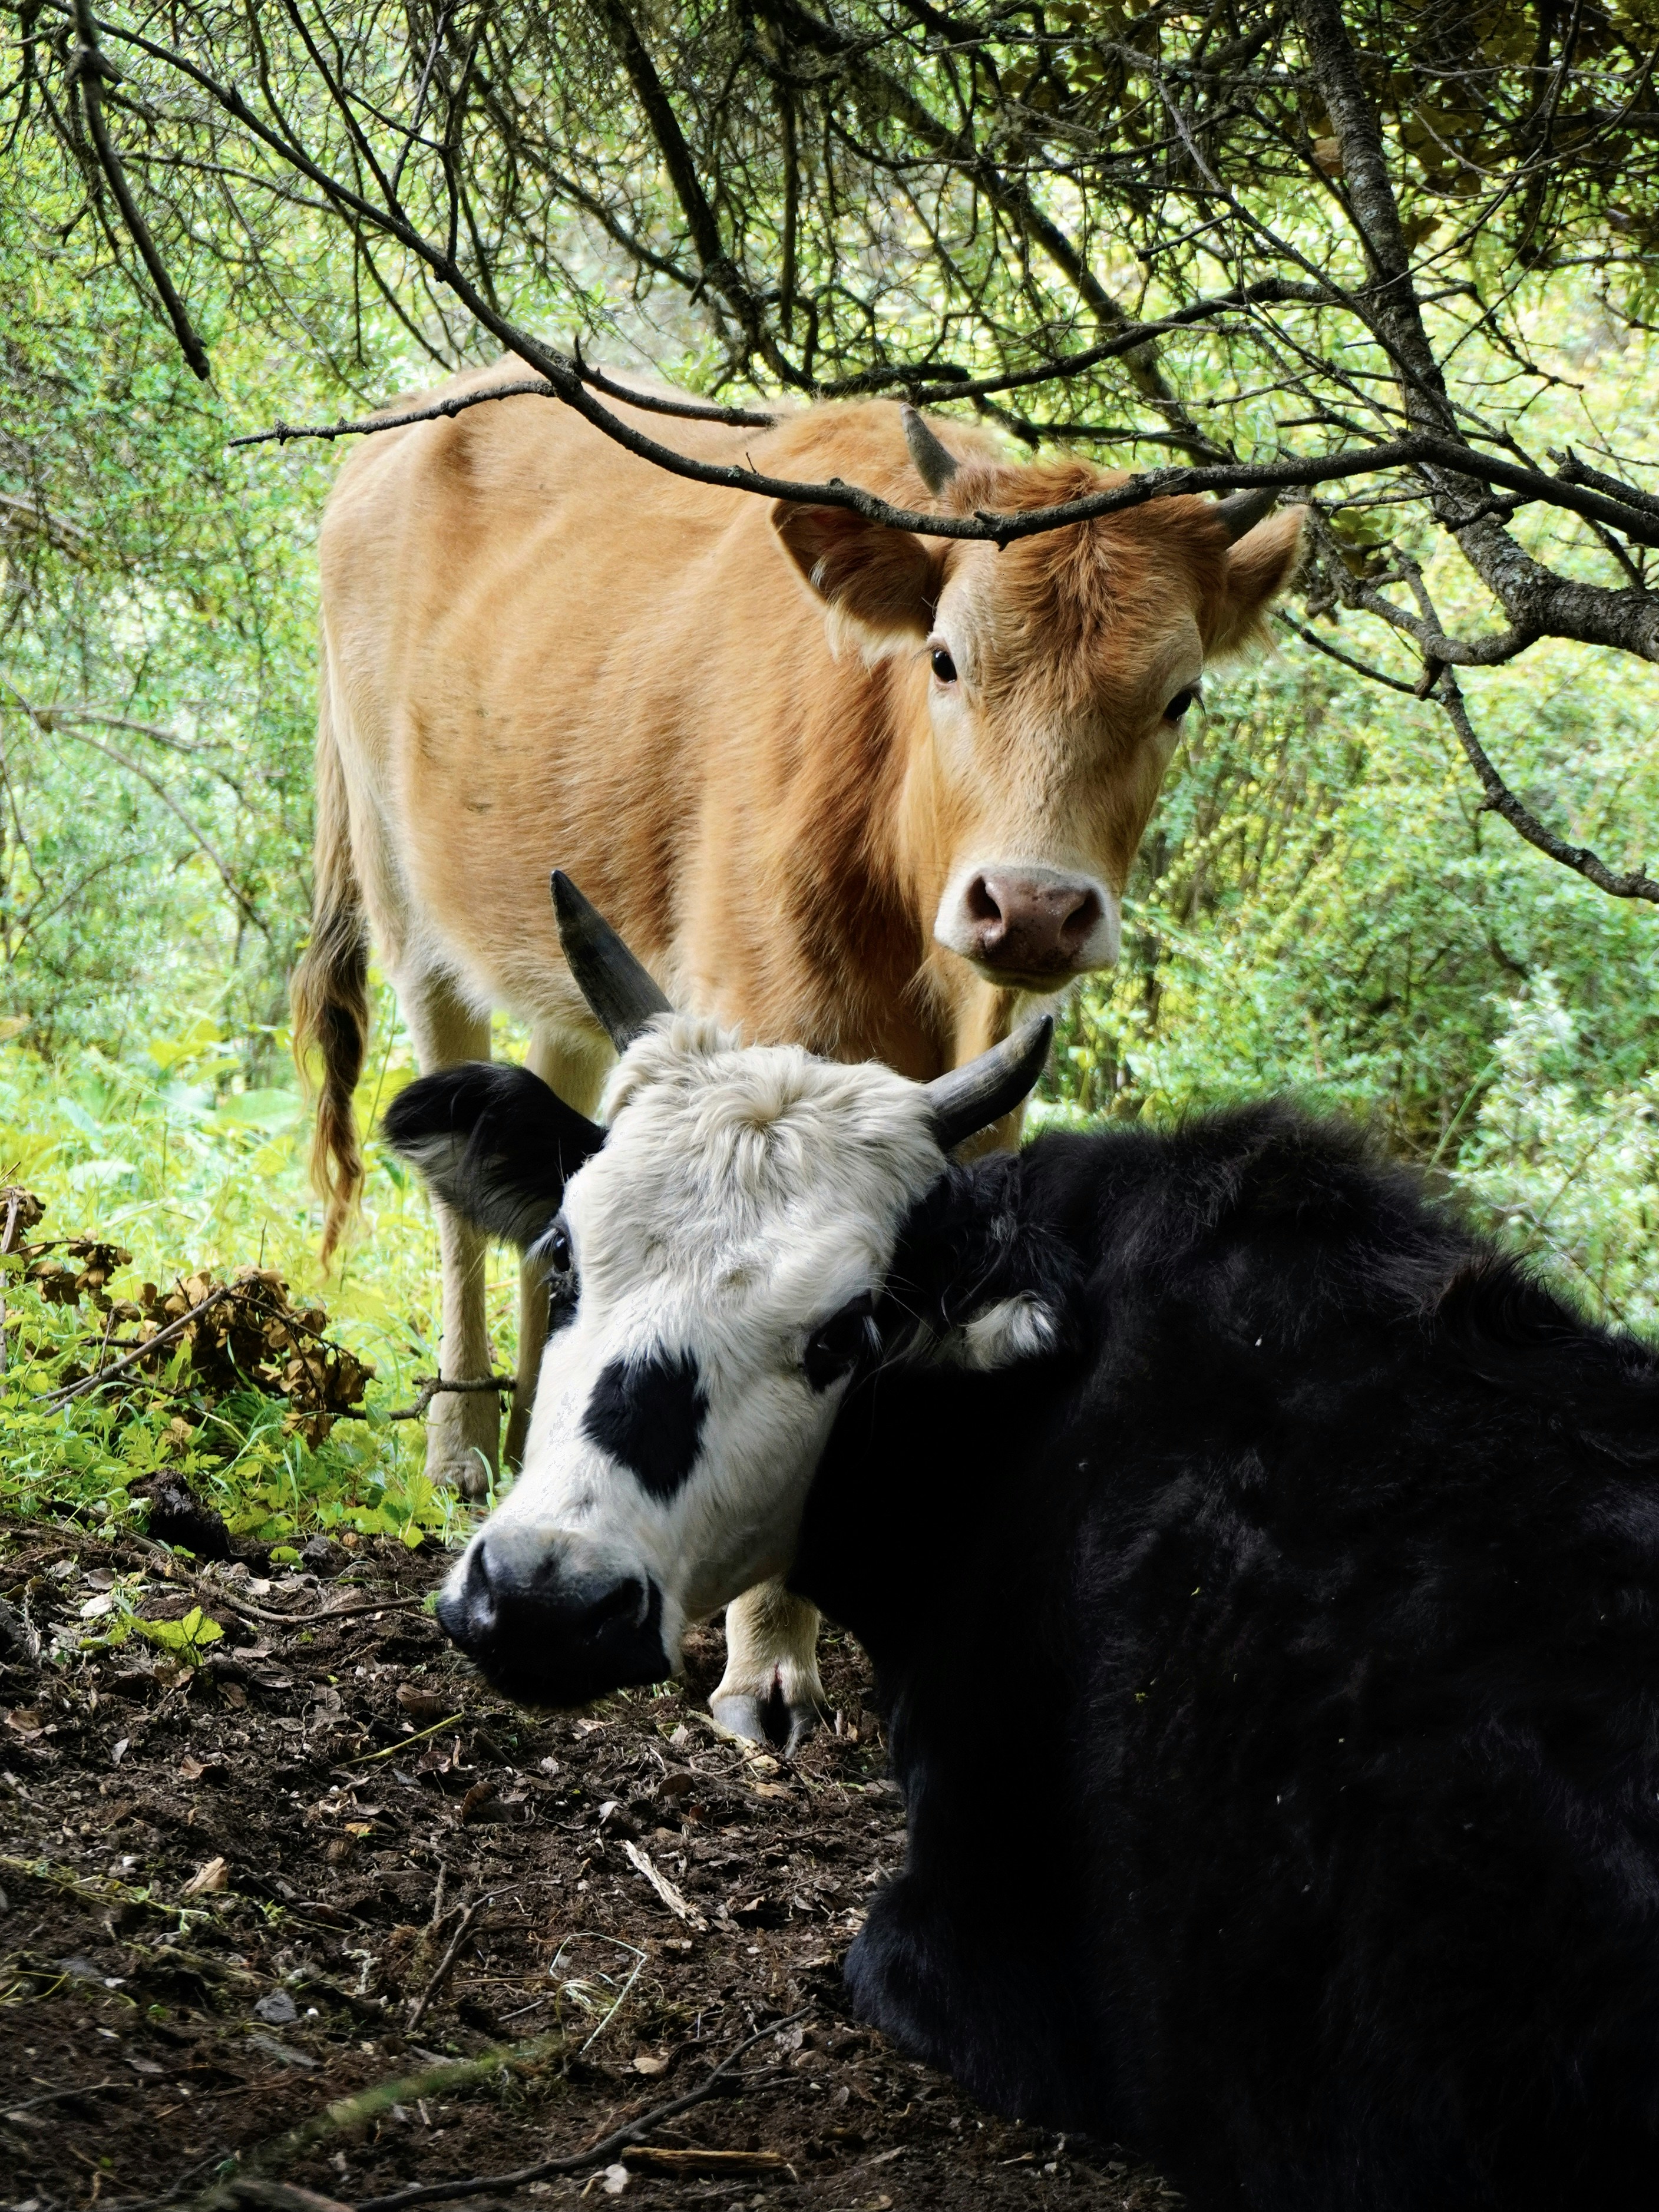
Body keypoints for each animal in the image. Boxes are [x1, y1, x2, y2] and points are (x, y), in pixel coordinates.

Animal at [293, 366, 1303, 1745]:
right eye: (946, 659)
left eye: (1178, 694)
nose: (1033, 908)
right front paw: (767, 1658)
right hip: (412, 916)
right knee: (456, 1204)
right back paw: (463, 1446)